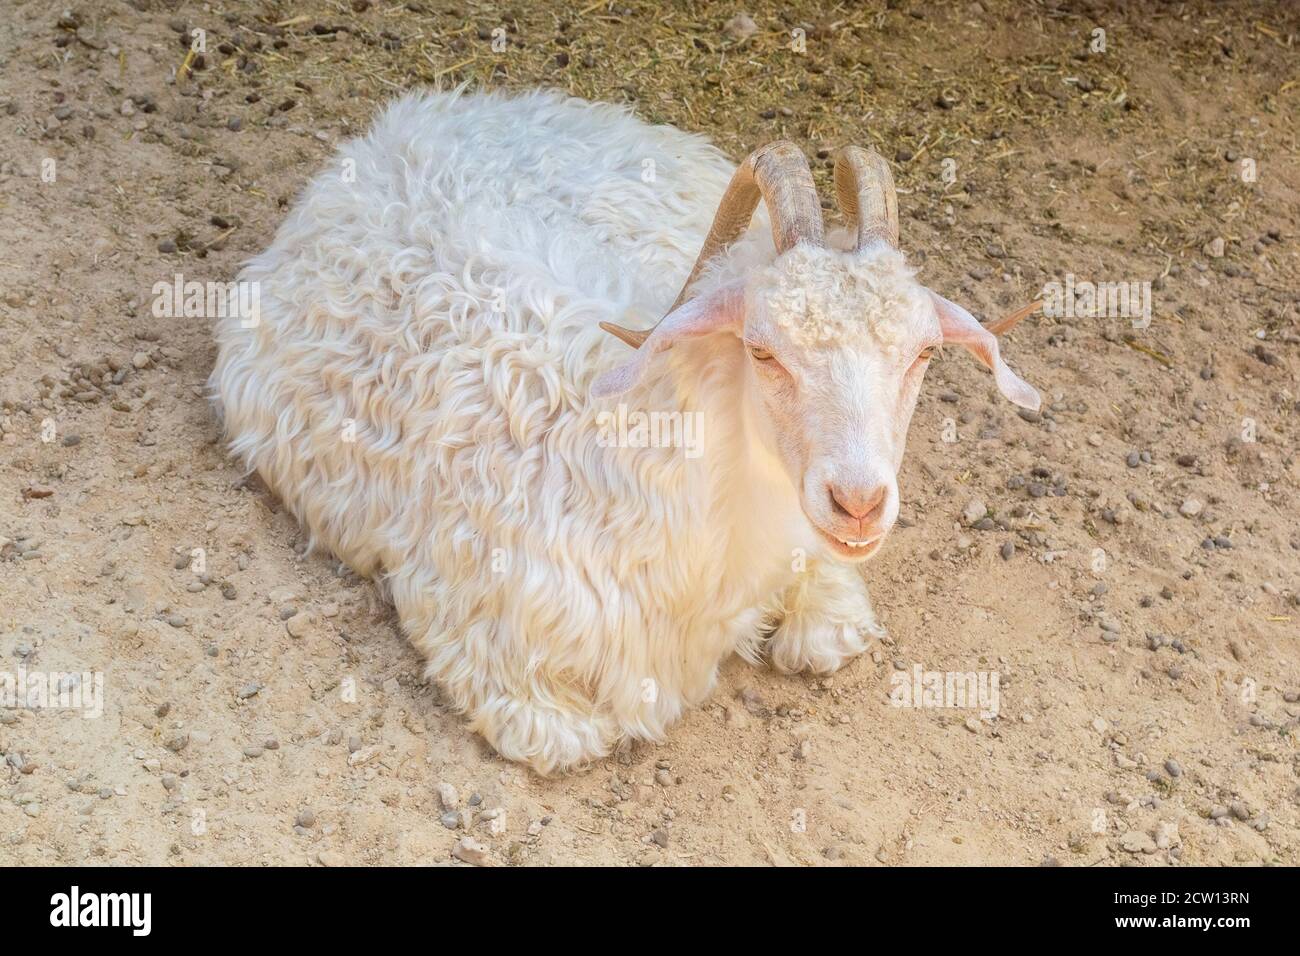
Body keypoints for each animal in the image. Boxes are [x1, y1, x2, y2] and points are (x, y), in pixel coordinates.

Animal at [210, 87, 1040, 775]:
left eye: (923, 353)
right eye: (763, 350)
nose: (859, 503)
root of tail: (423, 115)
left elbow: (827, 632)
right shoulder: (498, 647)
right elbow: (573, 733)